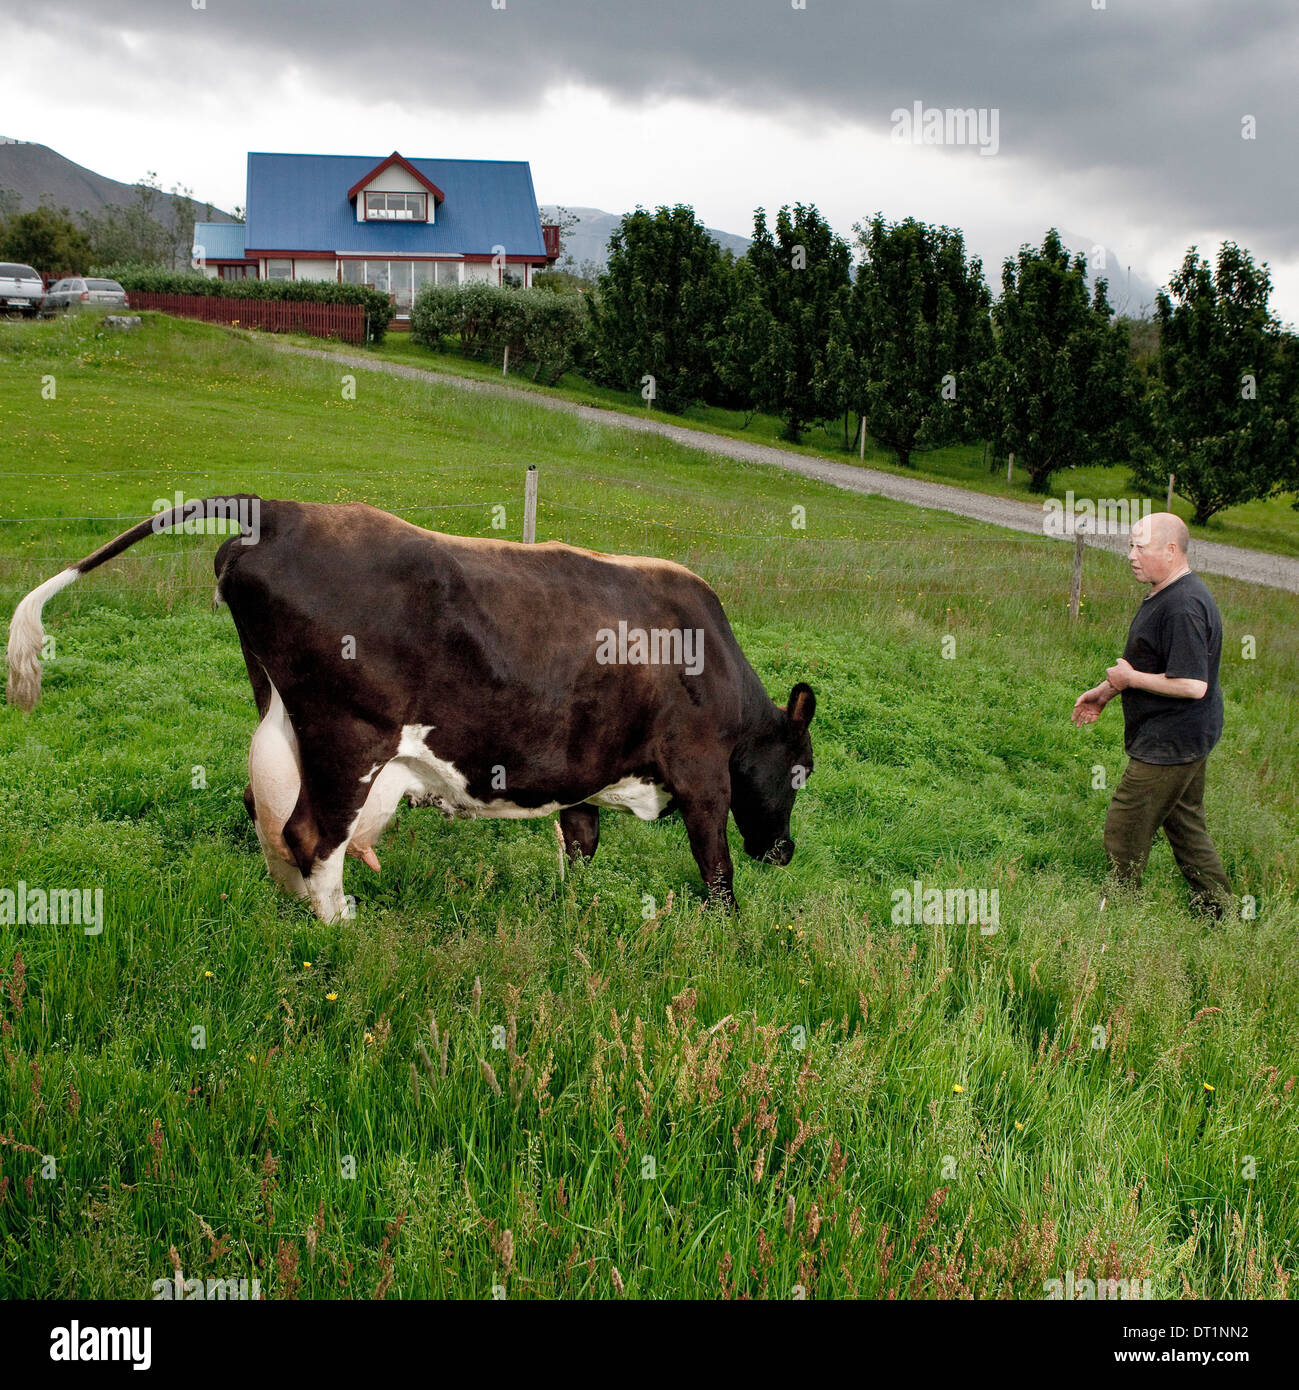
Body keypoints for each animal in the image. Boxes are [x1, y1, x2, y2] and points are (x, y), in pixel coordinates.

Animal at [6, 497, 817, 921]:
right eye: (800, 773)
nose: (784, 852)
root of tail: (285, 510)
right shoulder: (702, 772)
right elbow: (714, 865)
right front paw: (727, 932)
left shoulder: (582, 768)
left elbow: (579, 841)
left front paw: (570, 905)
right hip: (350, 736)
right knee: (311, 833)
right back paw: (342, 925)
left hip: (284, 720)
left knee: (266, 813)